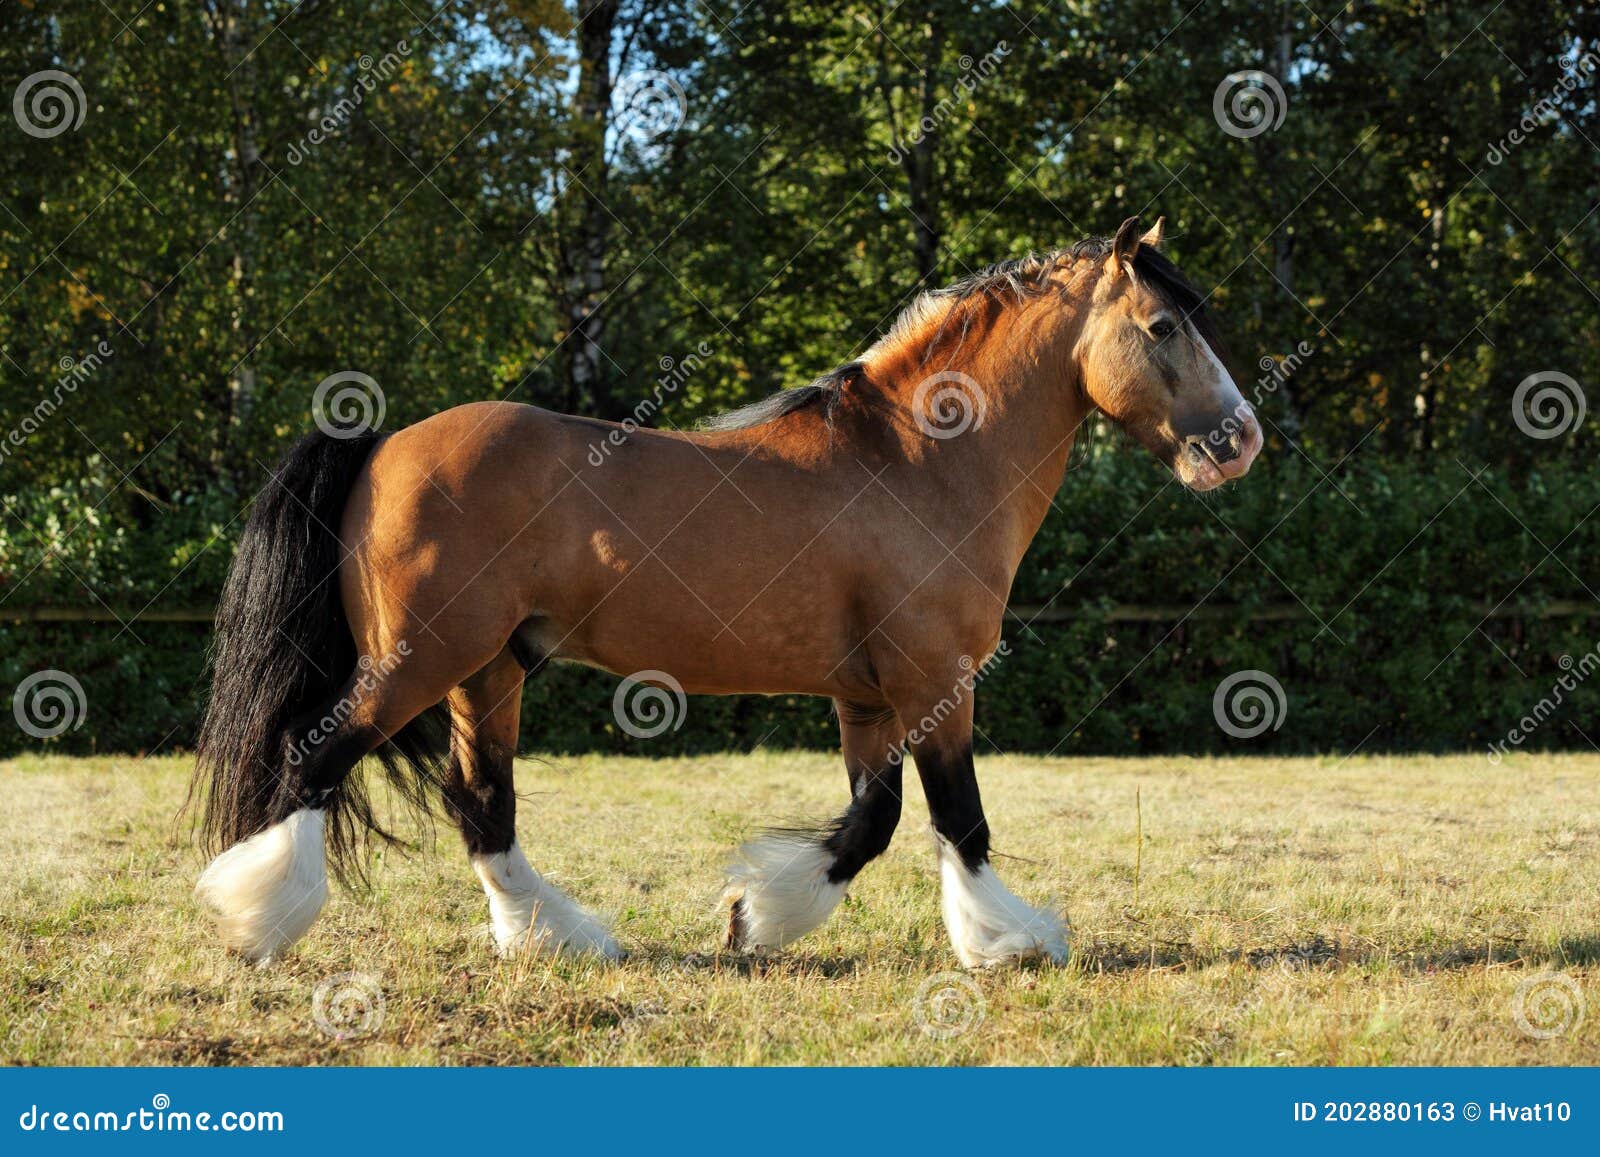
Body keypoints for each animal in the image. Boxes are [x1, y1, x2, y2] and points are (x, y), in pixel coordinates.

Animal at [191, 215, 1262, 968]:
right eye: (1164, 325)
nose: (1239, 441)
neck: (918, 460)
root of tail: (381, 443)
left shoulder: (868, 697)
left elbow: (870, 821)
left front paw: (755, 917)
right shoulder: (936, 680)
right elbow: (959, 817)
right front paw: (1009, 940)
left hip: (489, 669)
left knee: (481, 801)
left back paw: (559, 937)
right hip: (421, 661)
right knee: (313, 756)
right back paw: (256, 921)